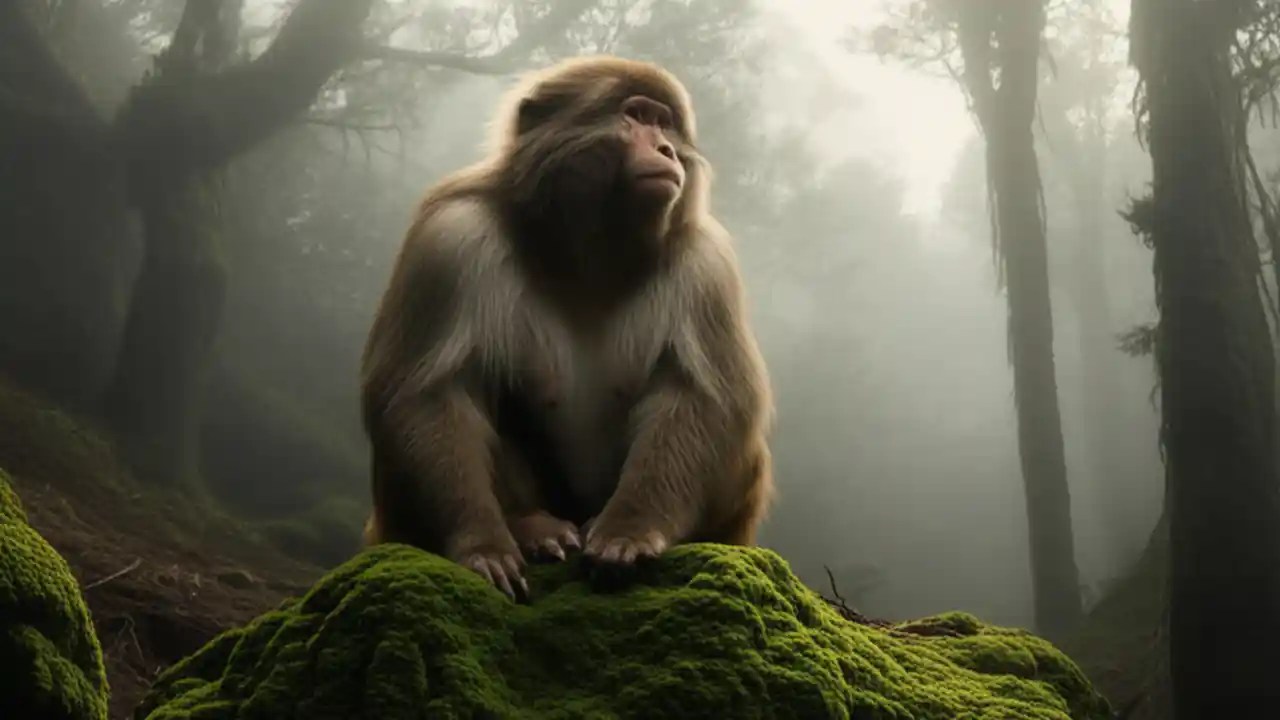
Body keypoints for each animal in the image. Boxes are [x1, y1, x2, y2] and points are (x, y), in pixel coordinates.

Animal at [359, 55, 774, 600]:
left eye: (664, 125)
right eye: (635, 116)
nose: (665, 150)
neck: (587, 255)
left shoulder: (707, 264)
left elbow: (707, 400)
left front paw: (630, 529)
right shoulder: (449, 236)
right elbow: (424, 394)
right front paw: (482, 544)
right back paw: (533, 528)